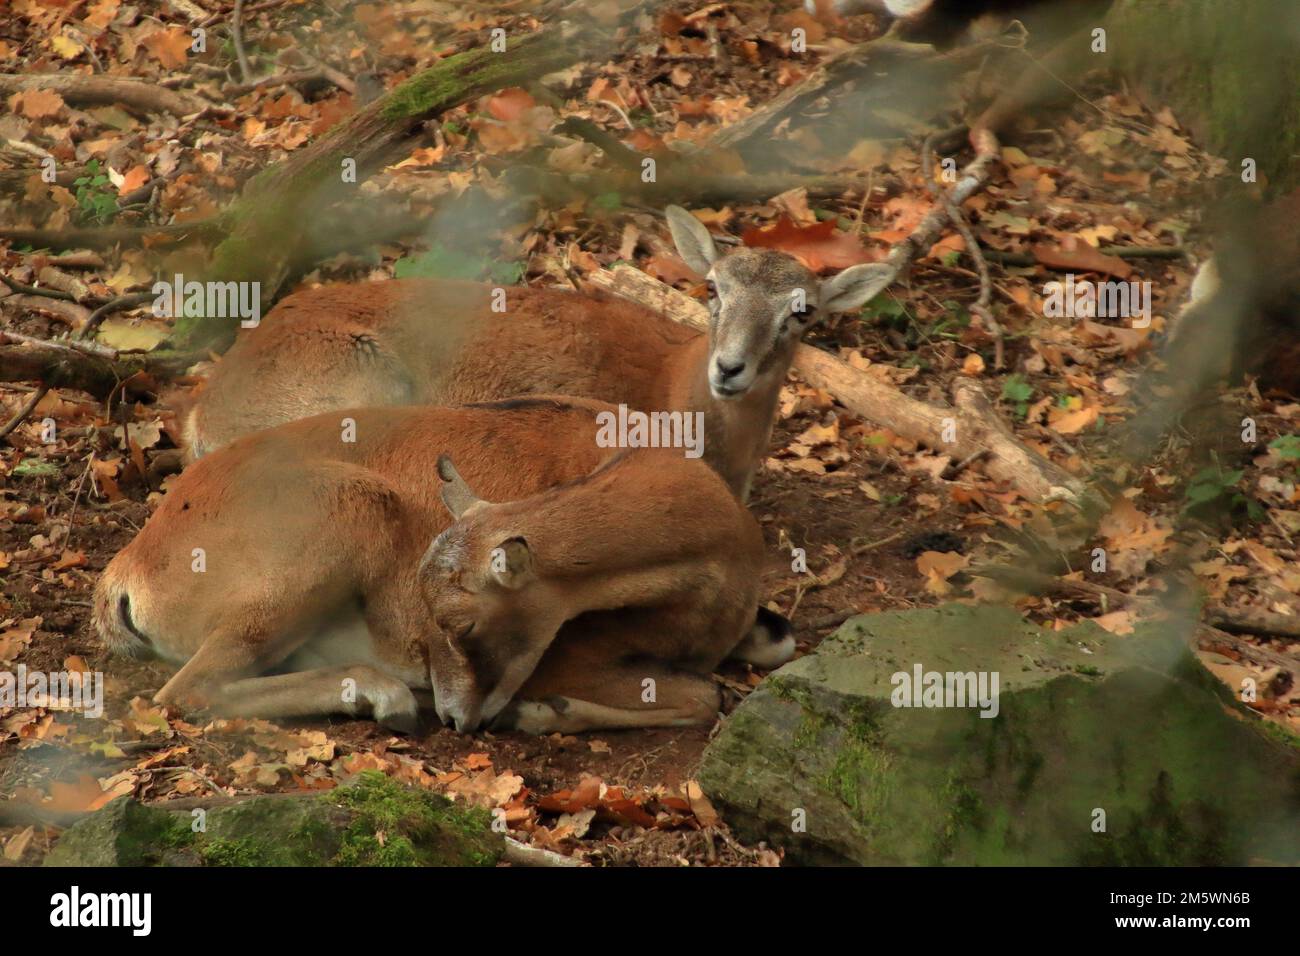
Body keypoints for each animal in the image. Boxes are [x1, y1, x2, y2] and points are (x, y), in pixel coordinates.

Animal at [94, 397, 793, 734]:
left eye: (461, 623)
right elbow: (706, 696)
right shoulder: (571, 657)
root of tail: (131, 569)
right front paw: (540, 713)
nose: (461, 719)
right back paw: (382, 695)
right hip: (341, 521)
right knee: (190, 691)